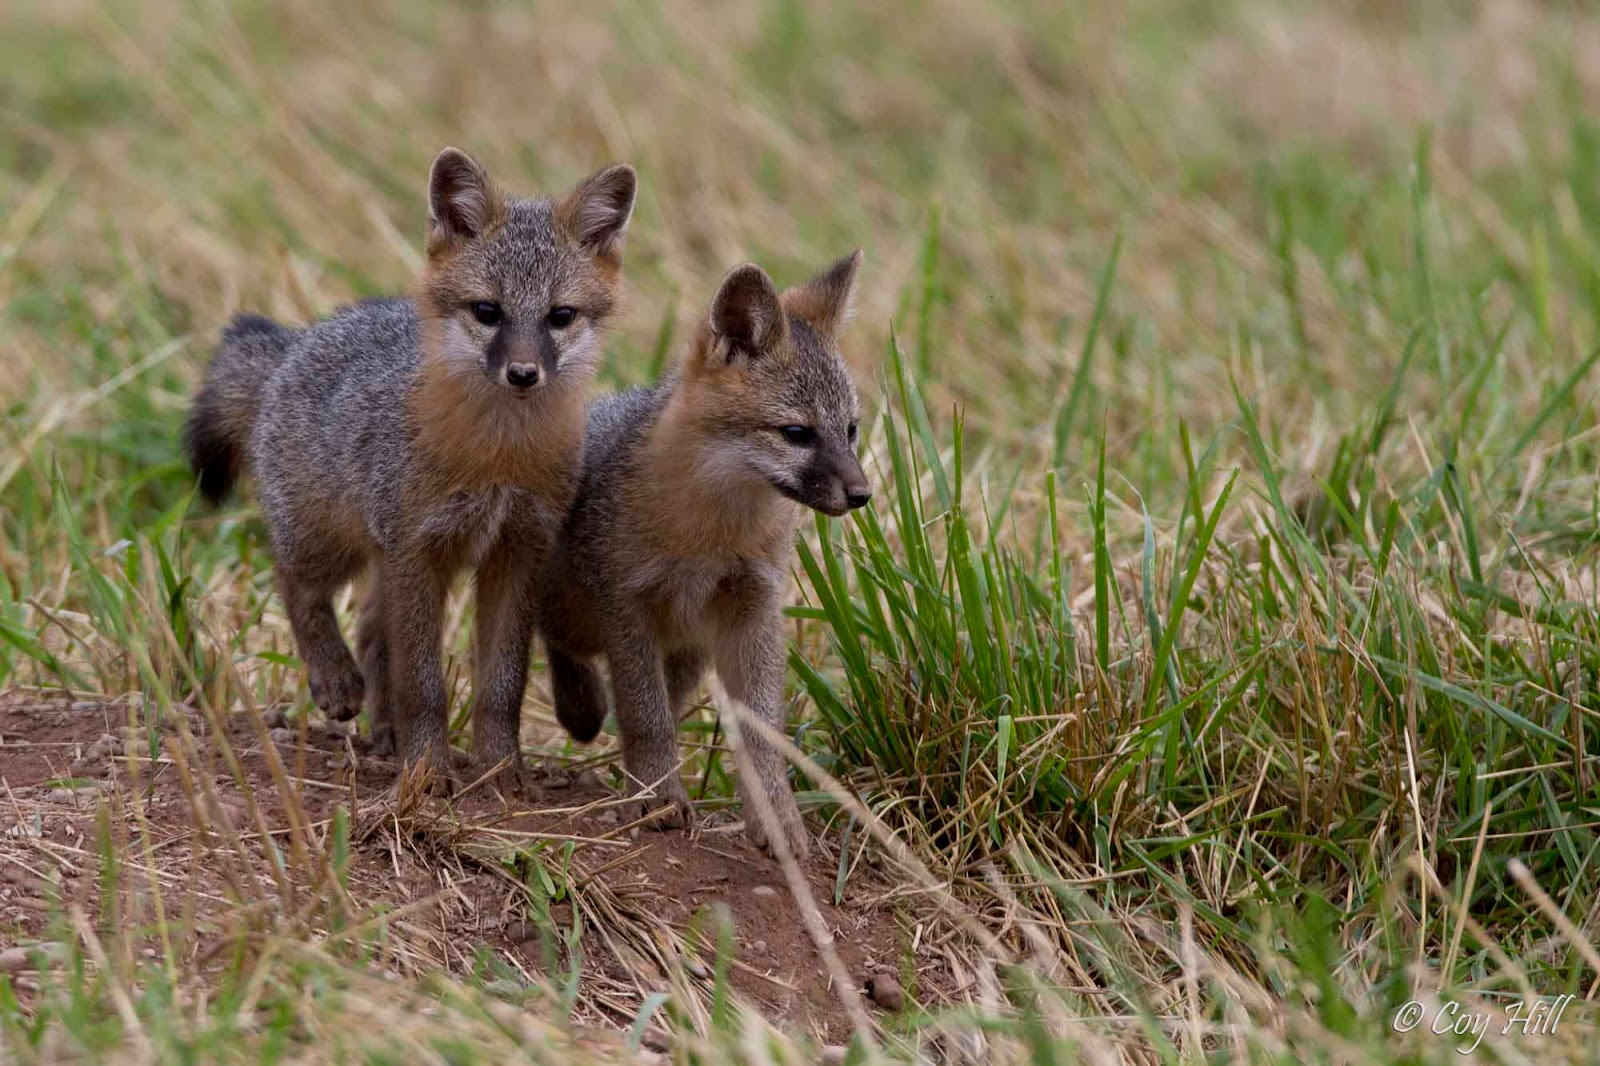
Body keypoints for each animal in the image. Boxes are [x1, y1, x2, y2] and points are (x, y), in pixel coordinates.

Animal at [183, 148, 637, 783]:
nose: (523, 373)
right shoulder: (419, 551)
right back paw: (337, 680)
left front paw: (500, 770)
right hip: (333, 542)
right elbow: (422, 682)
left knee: (374, 635)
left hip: (385, 561)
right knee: (294, 581)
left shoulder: (516, 552)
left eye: (560, 316)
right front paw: (429, 771)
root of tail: (295, 344)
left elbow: (503, 682)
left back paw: (388, 733)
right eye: (488, 312)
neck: (498, 454)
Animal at [536, 251, 870, 857]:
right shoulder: (626, 603)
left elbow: (762, 730)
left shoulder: (753, 606)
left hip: (688, 647)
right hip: (577, 611)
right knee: (562, 644)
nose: (862, 495)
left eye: (851, 430)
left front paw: (776, 816)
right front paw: (657, 798)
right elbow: (644, 714)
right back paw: (582, 708)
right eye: (797, 433)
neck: (712, 533)